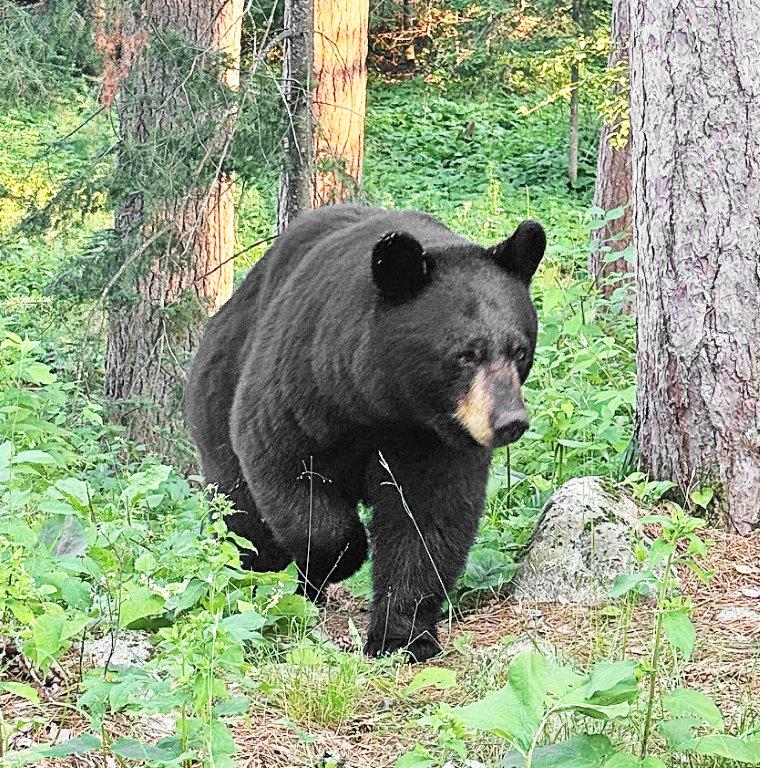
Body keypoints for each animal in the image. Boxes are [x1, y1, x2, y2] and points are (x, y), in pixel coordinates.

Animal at [184, 204, 545, 662]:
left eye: (520, 350)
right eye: (466, 354)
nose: (510, 421)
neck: (383, 404)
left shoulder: (434, 438)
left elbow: (428, 520)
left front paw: (402, 637)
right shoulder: (304, 385)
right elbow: (284, 468)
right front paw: (343, 556)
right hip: (215, 406)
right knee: (242, 515)